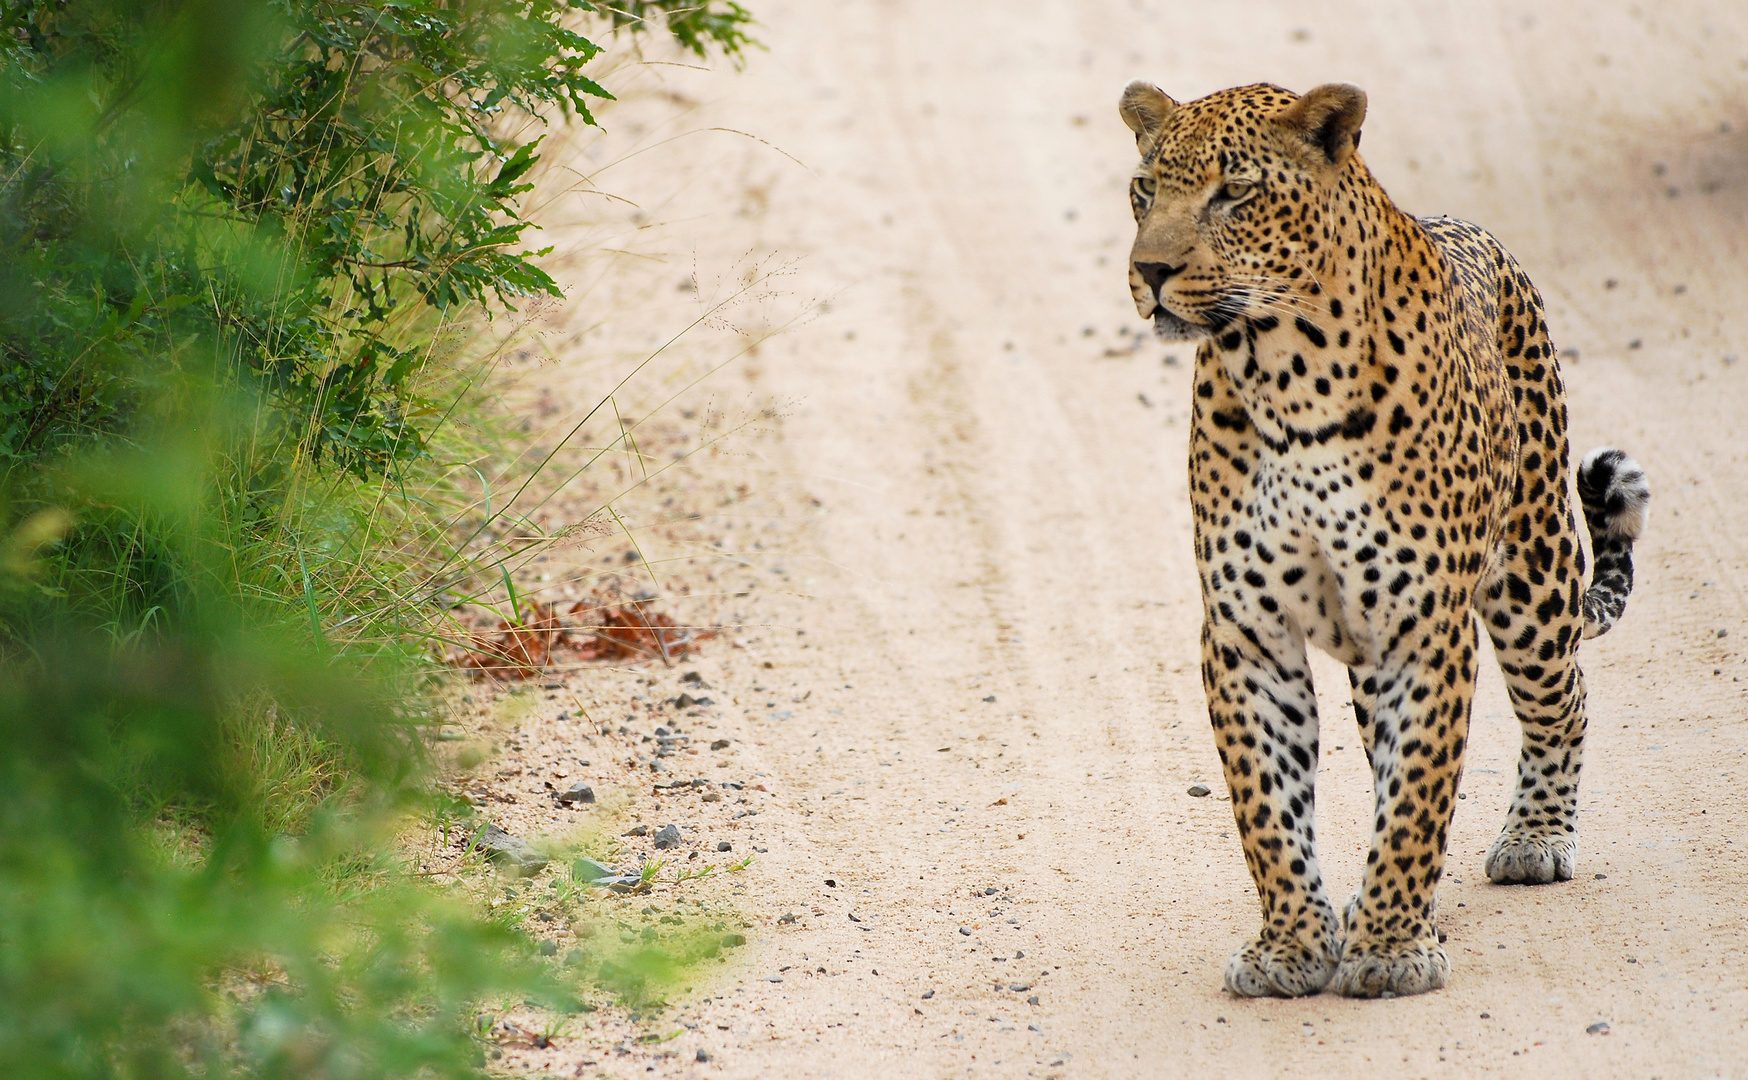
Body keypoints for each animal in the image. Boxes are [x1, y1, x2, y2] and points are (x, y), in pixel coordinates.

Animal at [1118, 80, 1650, 999]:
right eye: (1145, 190)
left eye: (1234, 192)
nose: (1150, 272)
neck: (1283, 373)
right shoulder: (1246, 631)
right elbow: (1268, 805)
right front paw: (1293, 946)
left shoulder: (1425, 628)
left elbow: (1418, 798)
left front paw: (1392, 949)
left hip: (1532, 580)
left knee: (1565, 699)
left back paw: (1533, 839)